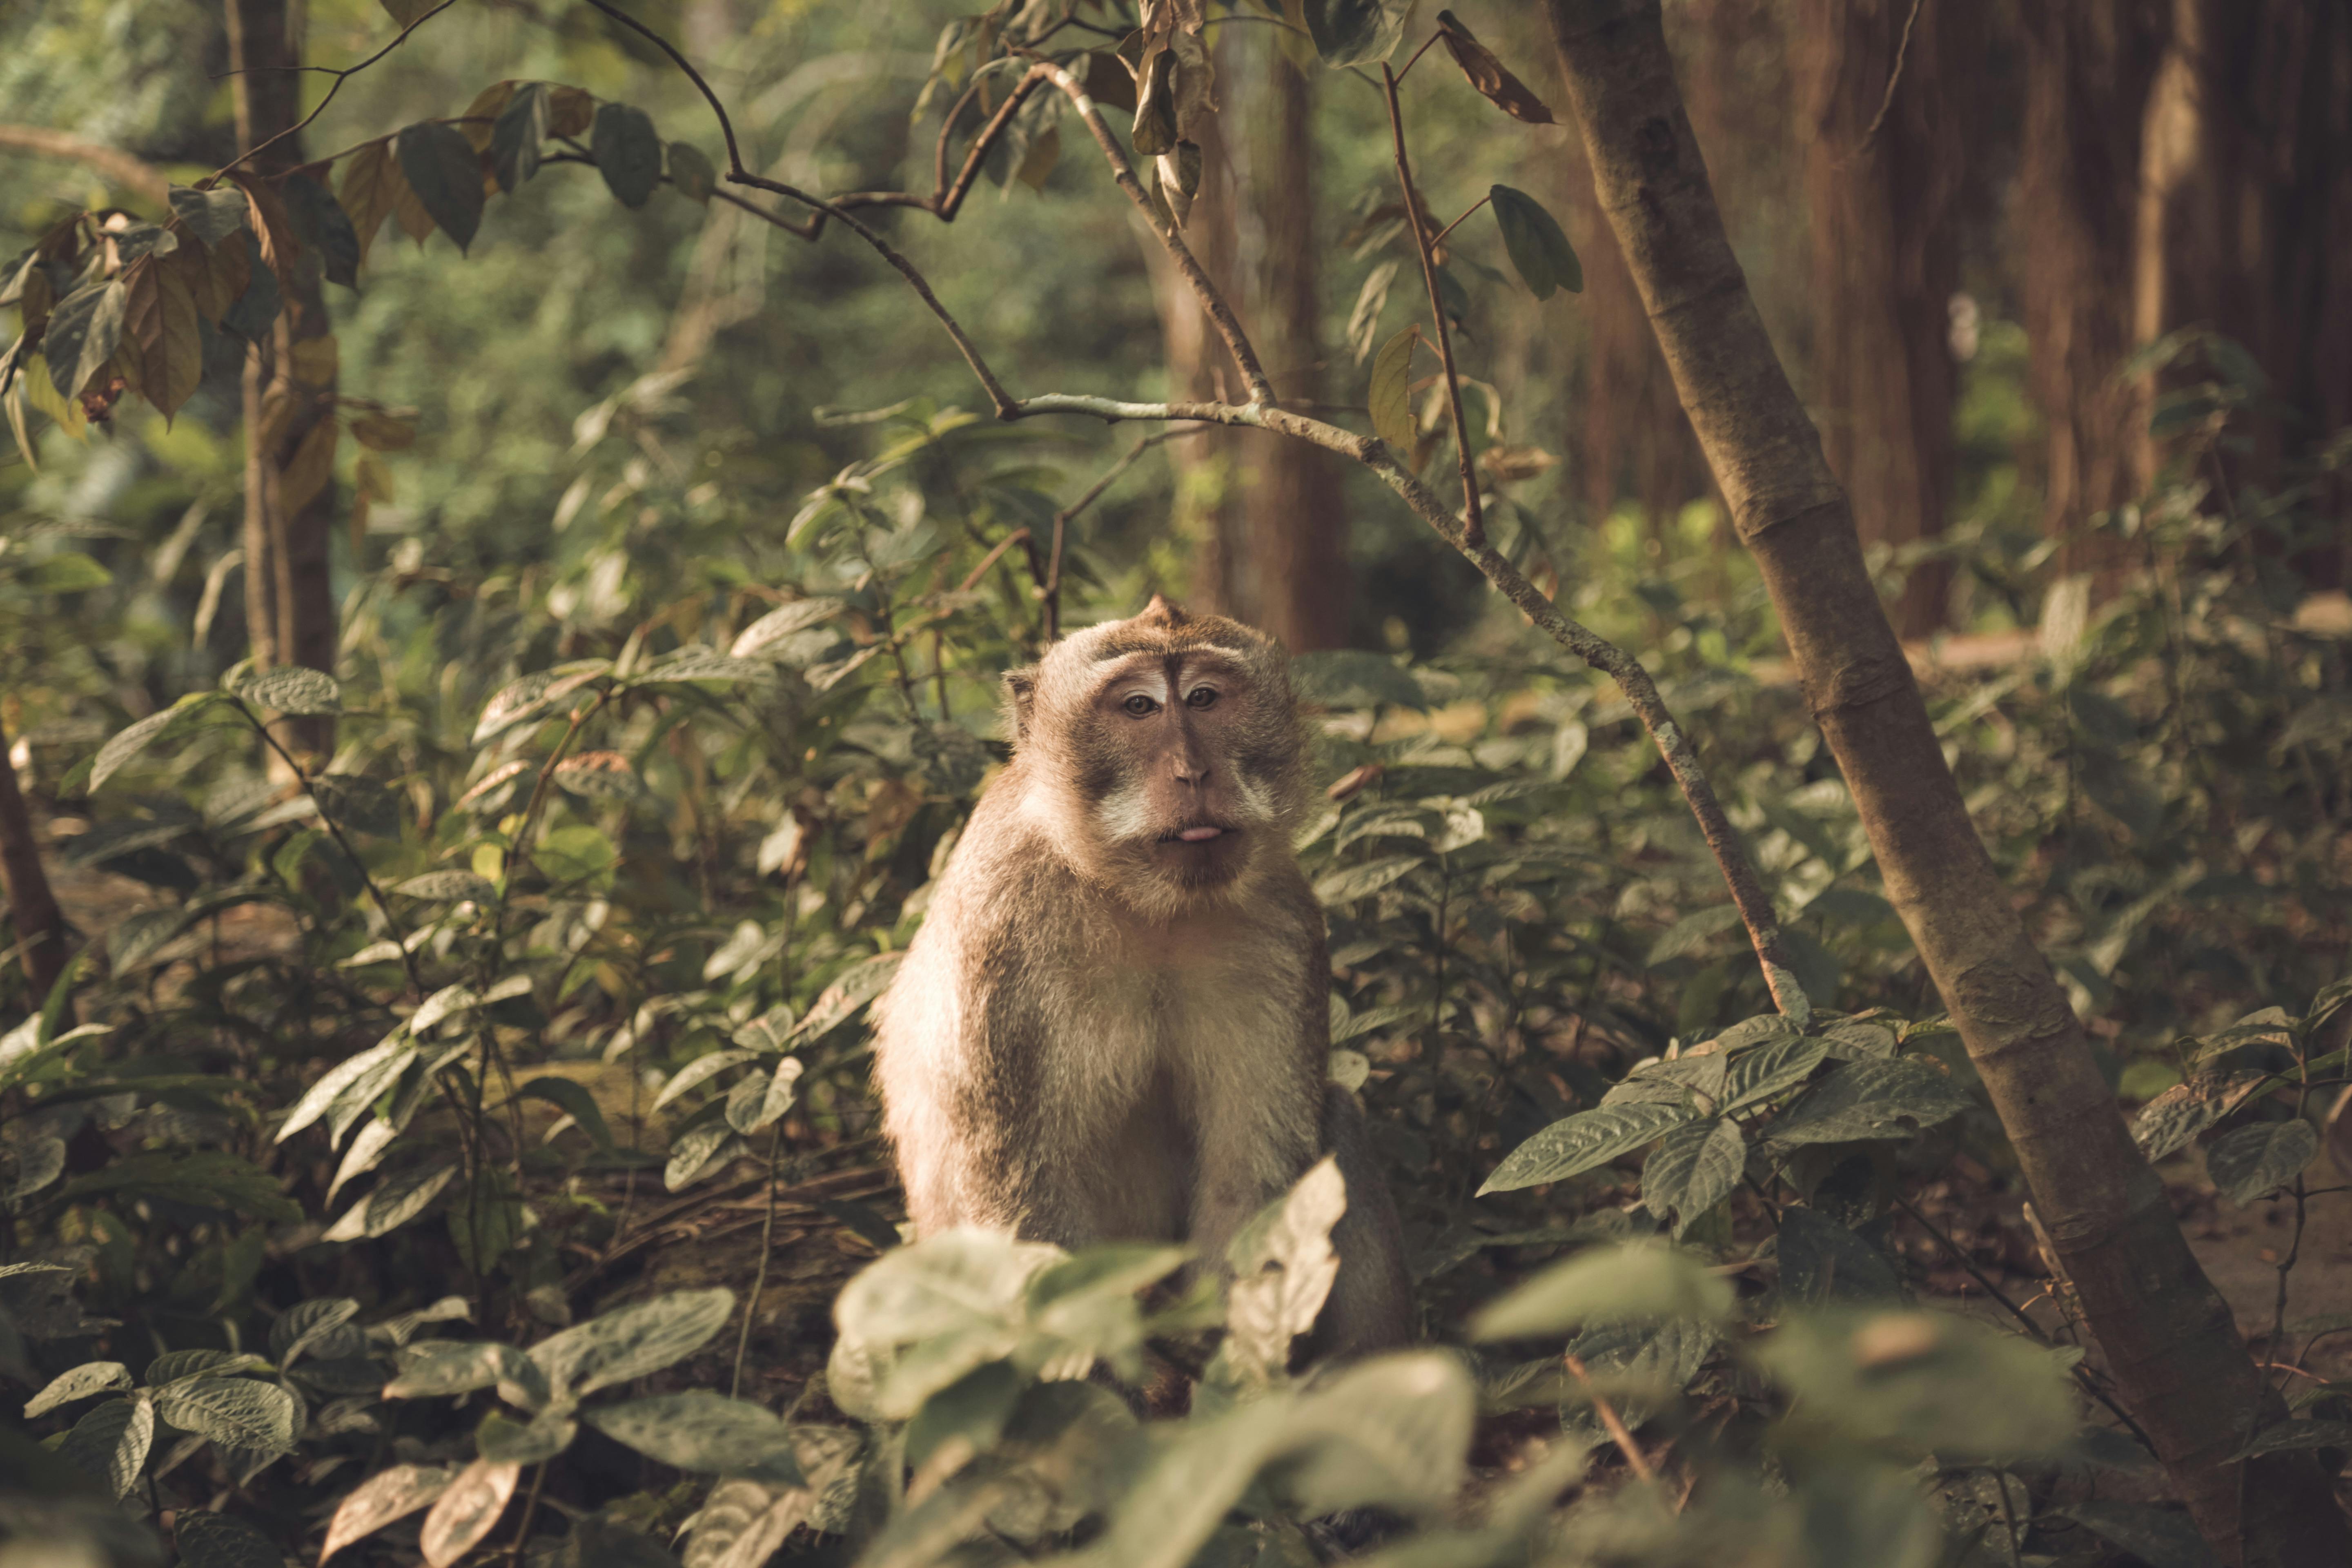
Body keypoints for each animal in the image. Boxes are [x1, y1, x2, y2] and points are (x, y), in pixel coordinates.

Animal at [871, 593, 1412, 1361]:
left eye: (1206, 698)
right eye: (1137, 707)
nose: (1193, 773)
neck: (1142, 902)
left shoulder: (1281, 923)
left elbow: (1249, 1172)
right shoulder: (999, 926)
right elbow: (1018, 1183)